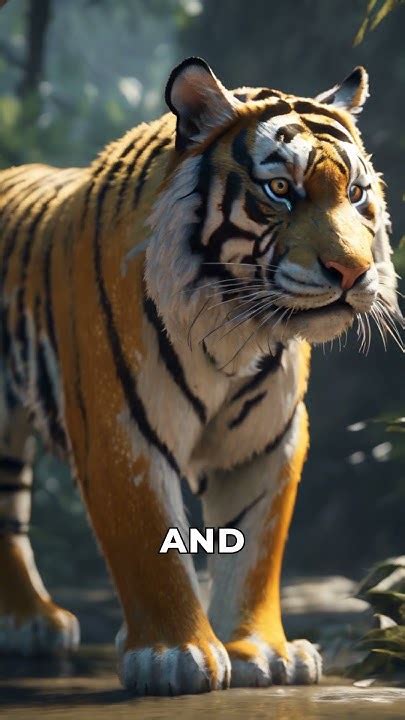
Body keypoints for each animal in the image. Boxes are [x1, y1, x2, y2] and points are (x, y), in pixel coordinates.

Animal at [0, 56, 401, 696]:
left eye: (357, 193)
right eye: (280, 190)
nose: (353, 272)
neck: (234, 328)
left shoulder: (267, 441)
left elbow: (256, 548)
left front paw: (263, 653)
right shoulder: (121, 431)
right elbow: (150, 543)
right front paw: (172, 654)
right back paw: (34, 623)